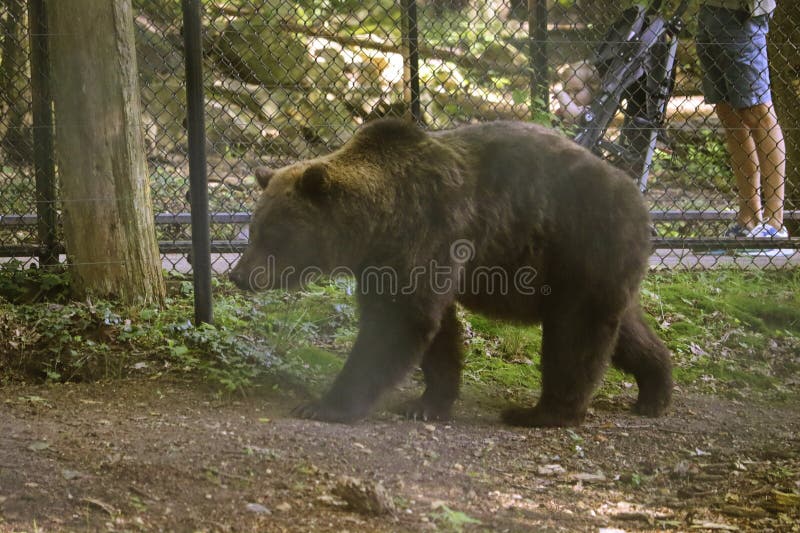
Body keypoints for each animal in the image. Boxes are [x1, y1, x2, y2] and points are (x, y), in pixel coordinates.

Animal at [229, 118, 673, 427]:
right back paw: (655, 390)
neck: (376, 227)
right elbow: (437, 331)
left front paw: (324, 405)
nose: (239, 275)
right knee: (623, 328)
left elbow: (398, 323)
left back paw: (541, 413)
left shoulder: (429, 234)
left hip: (583, 245)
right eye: (253, 229)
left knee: (576, 332)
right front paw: (427, 403)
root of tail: (639, 198)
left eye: (273, 235)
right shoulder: (387, 264)